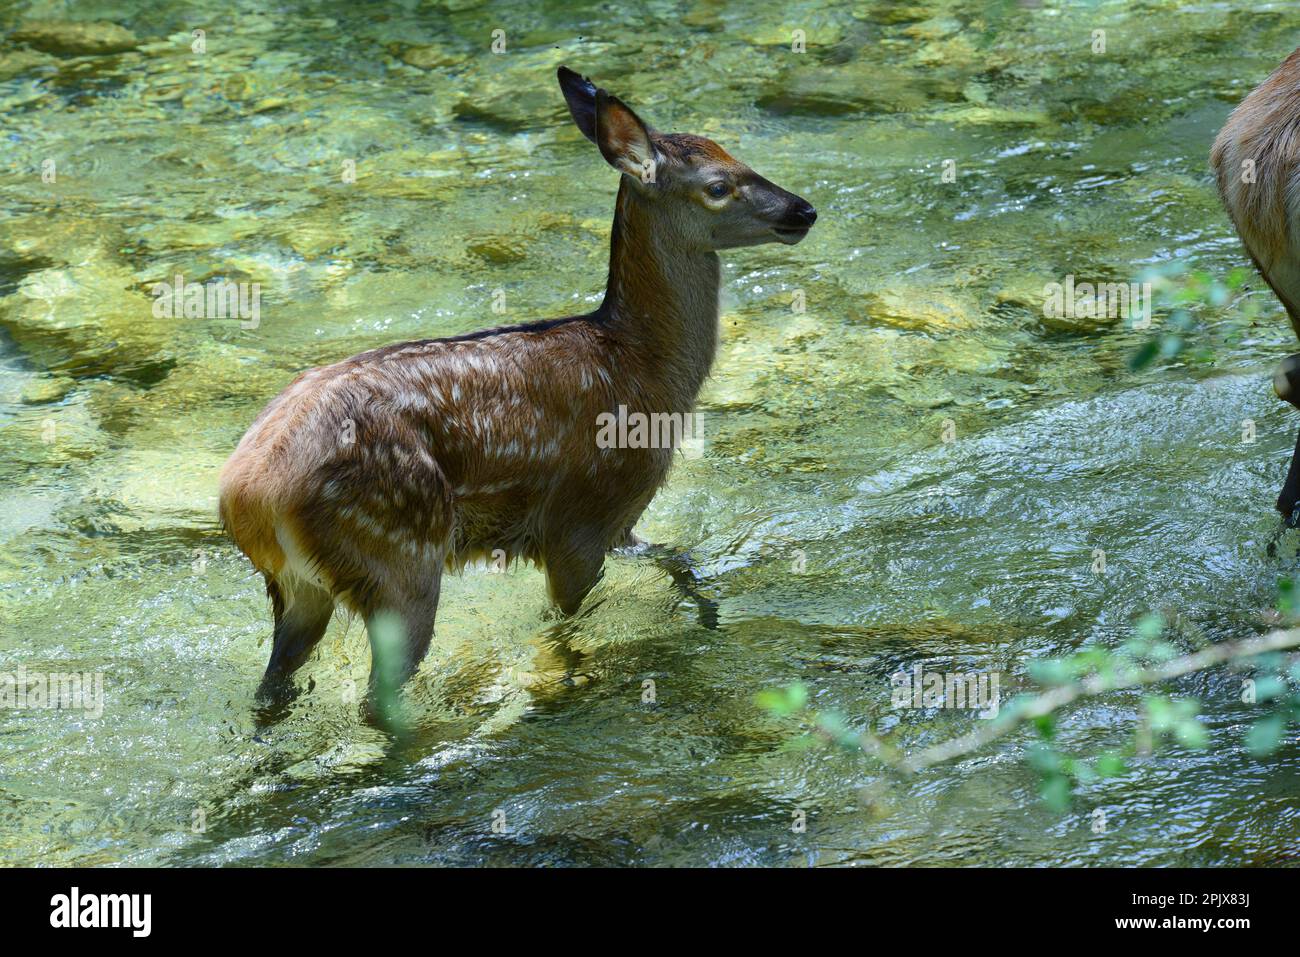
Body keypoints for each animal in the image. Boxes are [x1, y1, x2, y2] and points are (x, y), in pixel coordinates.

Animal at [218, 66, 817, 714]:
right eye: (718, 185)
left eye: (739, 156)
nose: (804, 210)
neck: (644, 369)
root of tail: (246, 495)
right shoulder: (582, 515)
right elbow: (566, 624)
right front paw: (567, 682)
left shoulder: (618, 520)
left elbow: (675, 555)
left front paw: (707, 614)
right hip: (397, 555)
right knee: (377, 699)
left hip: (299, 587)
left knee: (271, 688)